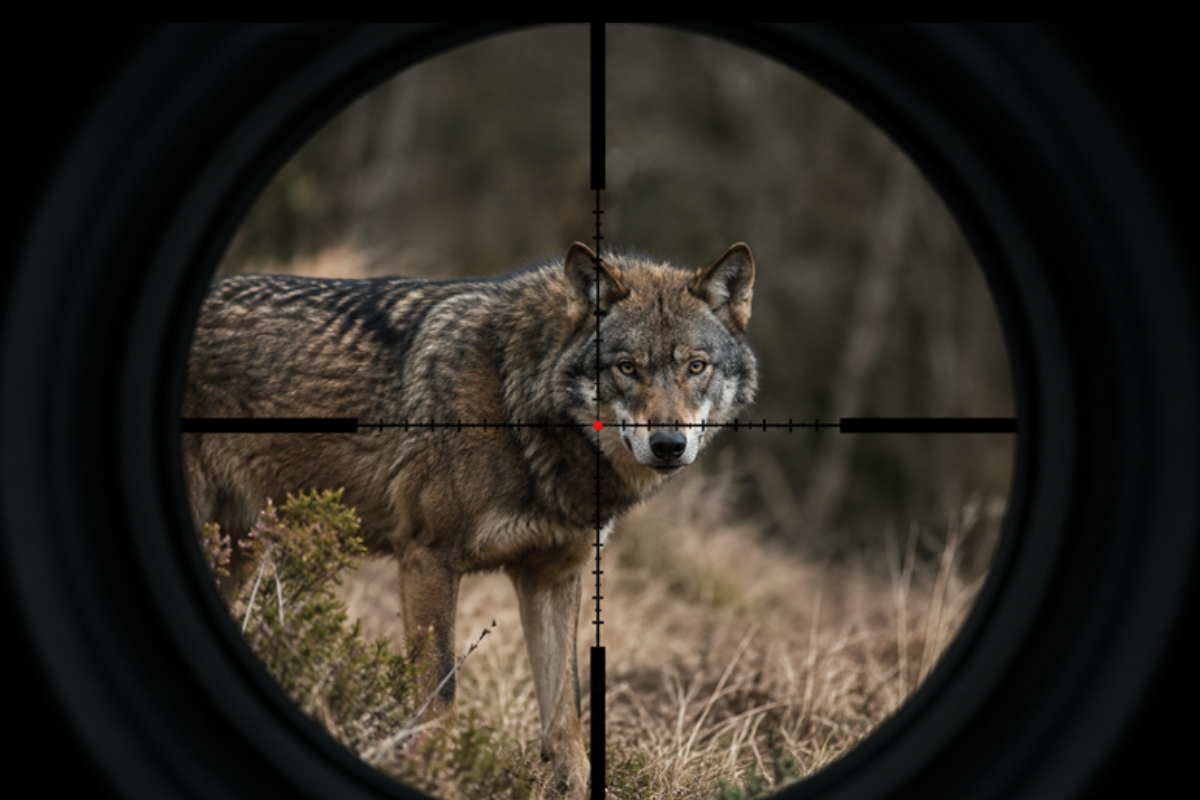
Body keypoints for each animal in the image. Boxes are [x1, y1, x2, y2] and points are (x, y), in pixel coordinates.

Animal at [183, 241, 757, 796]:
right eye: (627, 367)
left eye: (696, 367)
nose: (669, 444)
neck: (514, 403)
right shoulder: (427, 558)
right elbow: (440, 691)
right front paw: (441, 774)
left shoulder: (553, 573)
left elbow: (565, 706)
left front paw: (574, 785)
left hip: (238, 551)